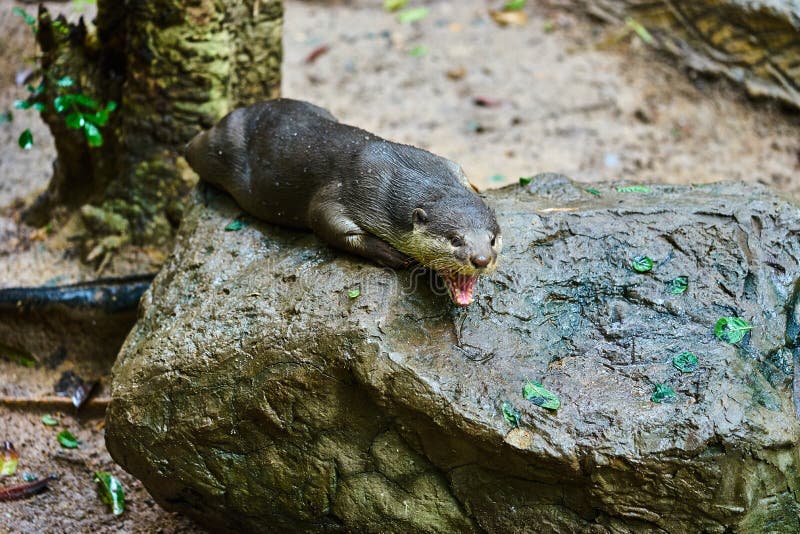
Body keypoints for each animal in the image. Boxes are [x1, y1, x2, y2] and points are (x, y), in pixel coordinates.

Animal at [185, 99, 502, 306]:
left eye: (492, 239)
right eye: (455, 239)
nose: (481, 259)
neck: (399, 171)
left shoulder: (445, 164)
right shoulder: (348, 189)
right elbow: (325, 222)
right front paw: (391, 254)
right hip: (218, 149)